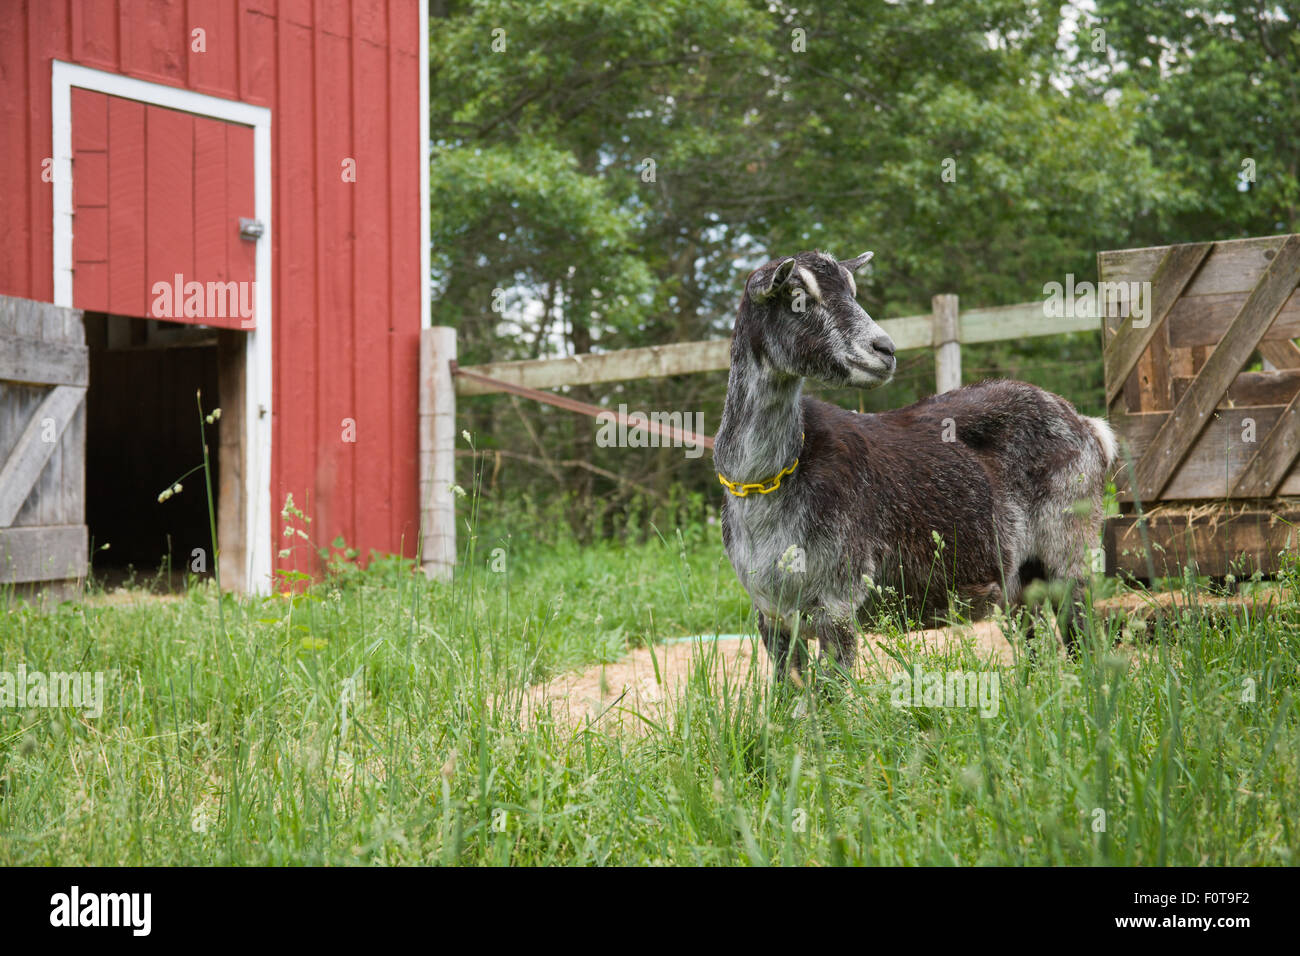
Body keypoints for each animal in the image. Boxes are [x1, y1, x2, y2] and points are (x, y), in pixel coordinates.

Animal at [714, 251, 1117, 678]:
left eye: (852, 290)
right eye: (795, 295)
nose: (884, 349)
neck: (768, 483)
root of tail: (1089, 426)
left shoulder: (837, 603)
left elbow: (829, 690)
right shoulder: (770, 614)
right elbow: (788, 690)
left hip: (1070, 547)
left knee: (1080, 635)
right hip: (1021, 582)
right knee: (1037, 644)